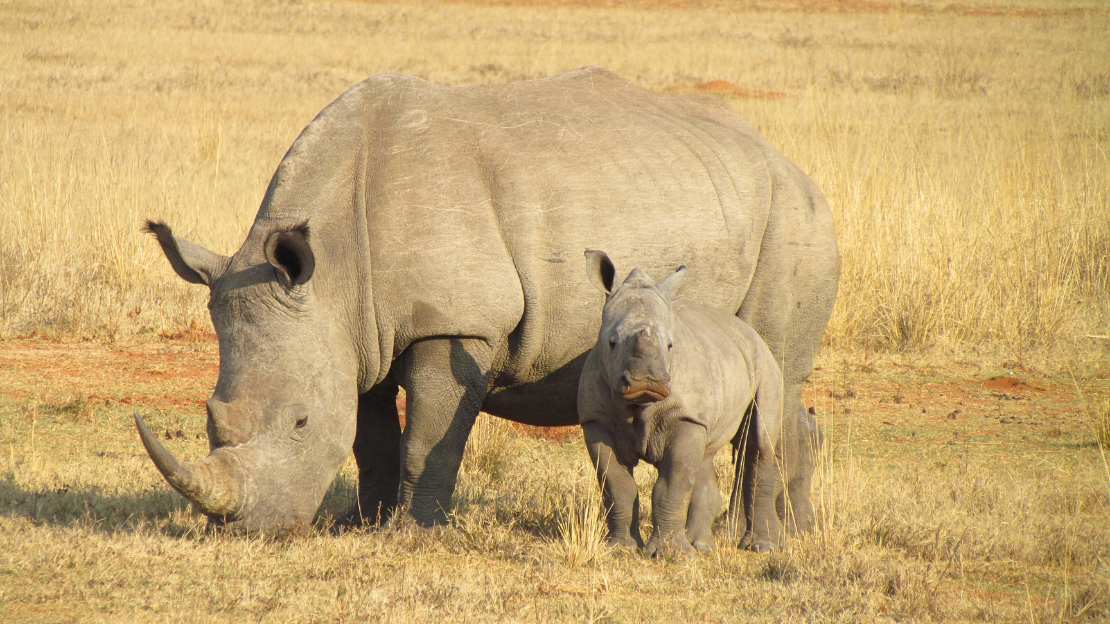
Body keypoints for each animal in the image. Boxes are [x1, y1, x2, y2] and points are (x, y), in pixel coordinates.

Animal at [578, 251, 800, 555]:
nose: (647, 380)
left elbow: (673, 483)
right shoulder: (596, 419)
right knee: (705, 457)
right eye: (611, 343)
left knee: (760, 441)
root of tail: (749, 331)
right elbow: (617, 485)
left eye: (670, 346)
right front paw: (621, 549)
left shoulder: (686, 415)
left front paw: (671, 555)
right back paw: (703, 546)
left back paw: (762, 547)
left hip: (766, 365)